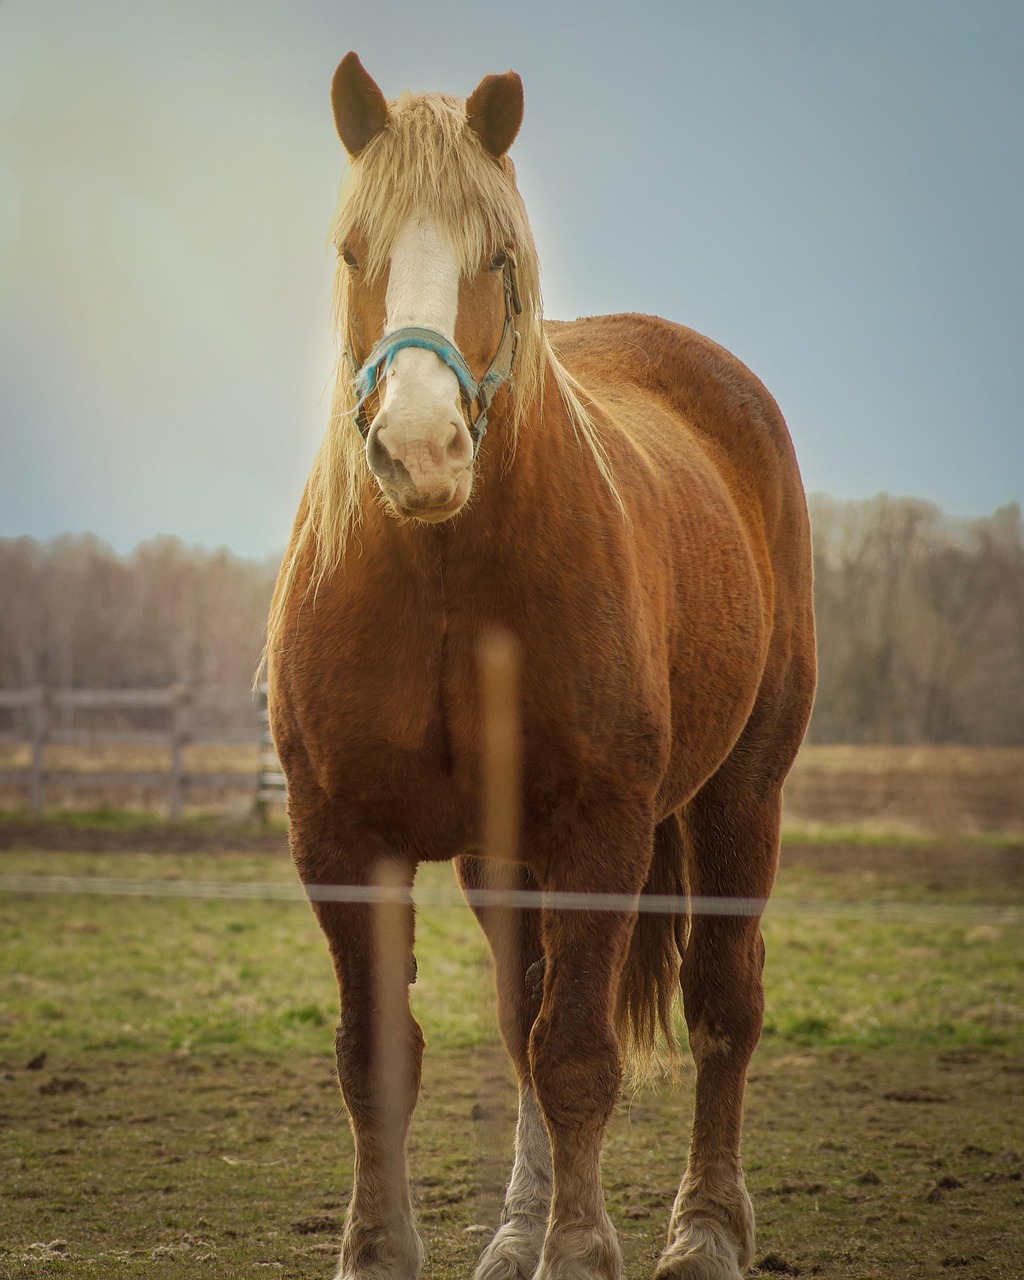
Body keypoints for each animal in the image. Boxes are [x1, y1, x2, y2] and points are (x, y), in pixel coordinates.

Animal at [266, 52, 816, 1280]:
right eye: (353, 251)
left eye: (498, 259)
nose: (420, 449)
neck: (442, 579)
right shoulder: (340, 837)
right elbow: (382, 1055)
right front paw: (381, 1248)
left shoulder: (598, 828)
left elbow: (577, 1055)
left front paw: (582, 1246)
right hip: (498, 859)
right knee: (521, 1022)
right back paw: (515, 1230)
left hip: (738, 798)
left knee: (722, 1005)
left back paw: (706, 1228)